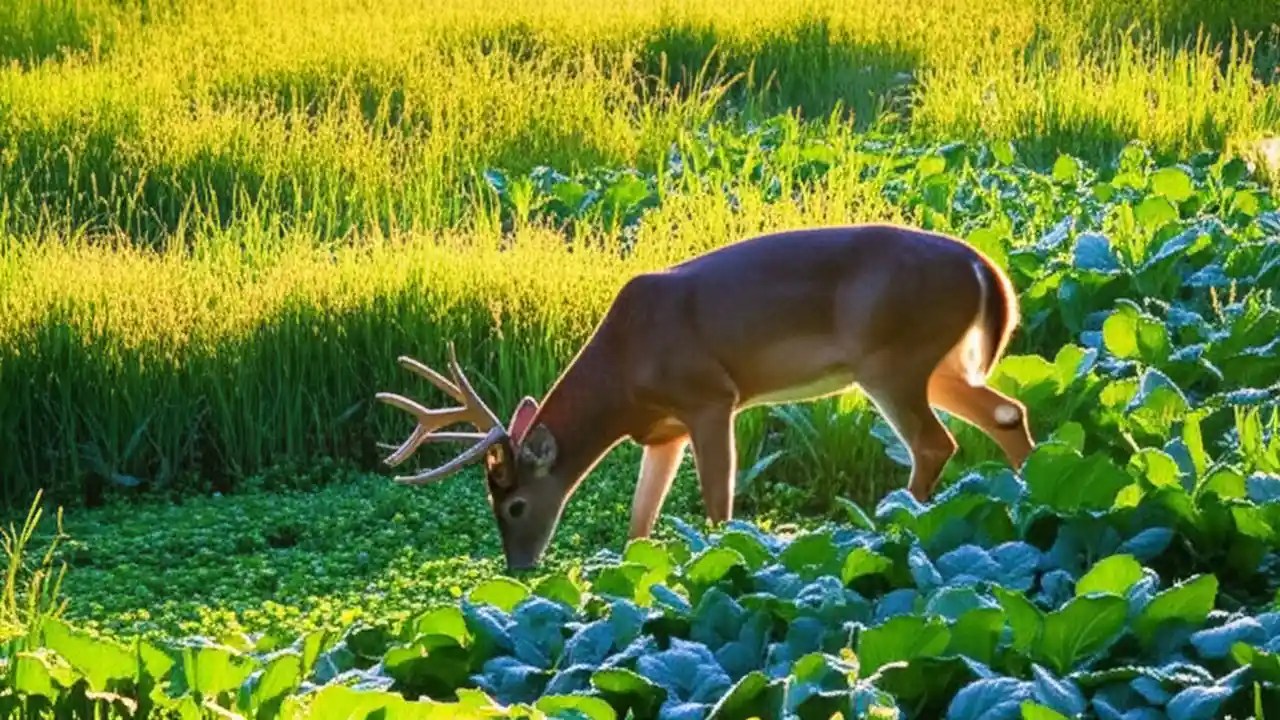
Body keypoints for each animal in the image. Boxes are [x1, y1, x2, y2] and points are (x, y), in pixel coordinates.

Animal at [375, 223, 1035, 571]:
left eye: (512, 506)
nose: (519, 568)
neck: (626, 370)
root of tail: (986, 269)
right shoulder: (662, 429)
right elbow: (639, 520)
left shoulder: (711, 395)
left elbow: (719, 503)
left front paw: (722, 561)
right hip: (938, 364)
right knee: (1009, 414)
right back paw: (1037, 500)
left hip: (893, 359)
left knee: (935, 442)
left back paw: (891, 525)